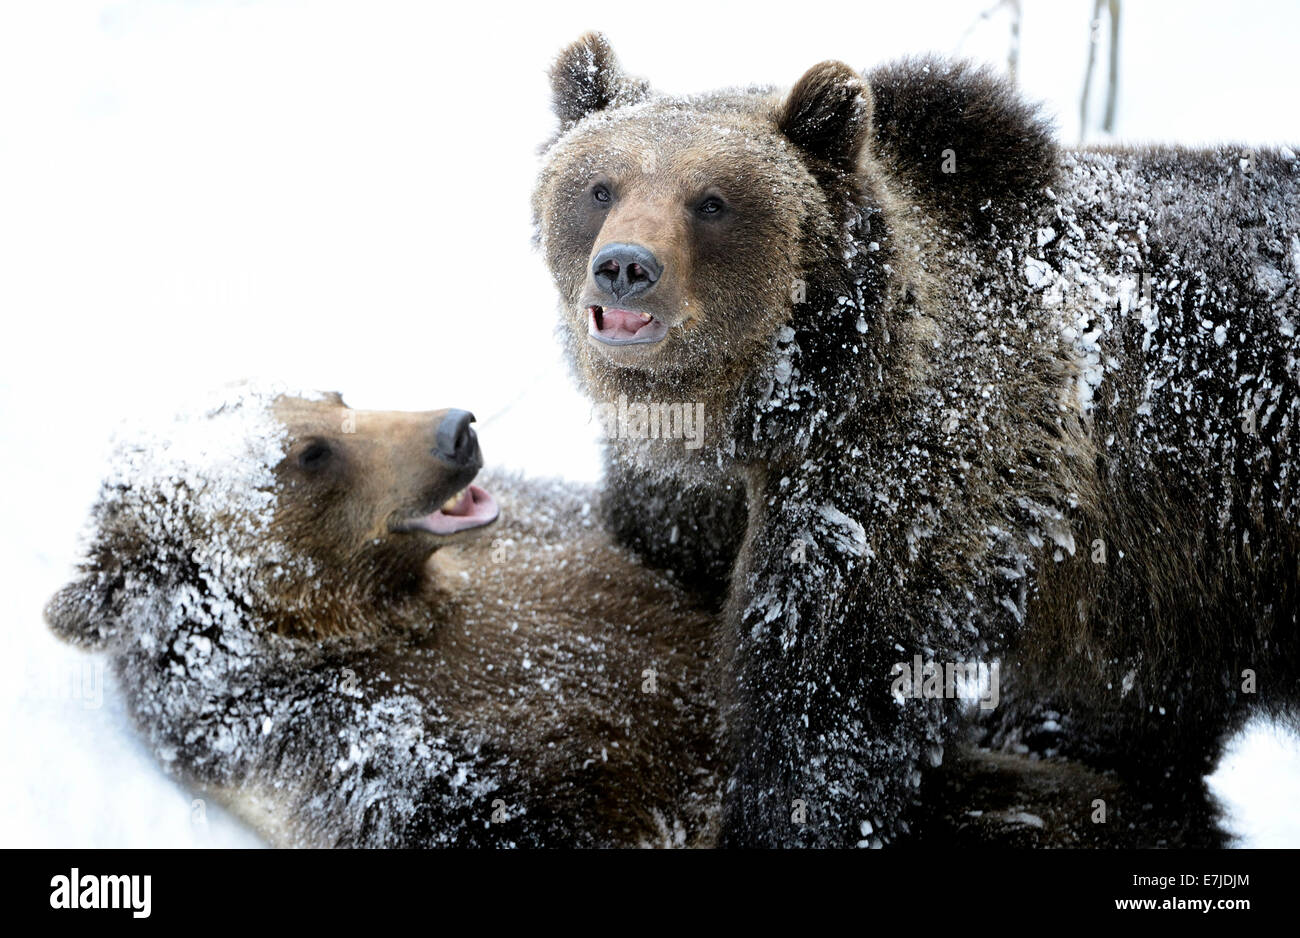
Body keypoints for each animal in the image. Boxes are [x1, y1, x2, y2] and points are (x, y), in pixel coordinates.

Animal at [532, 33, 1300, 847]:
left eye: (712, 201)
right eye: (601, 187)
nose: (624, 267)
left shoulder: (910, 484)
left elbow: (829, 706)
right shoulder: (702, 501)